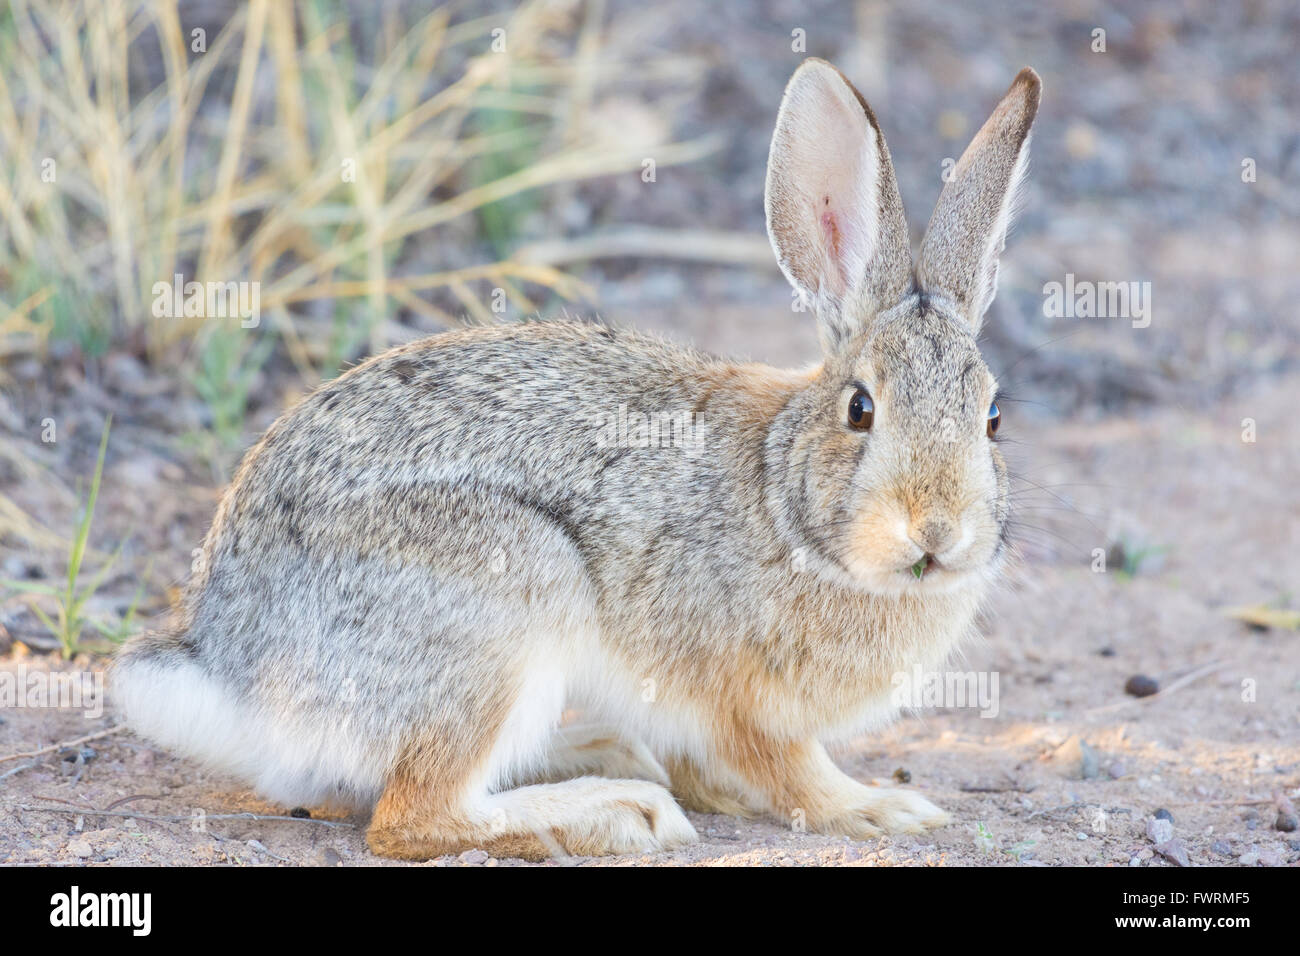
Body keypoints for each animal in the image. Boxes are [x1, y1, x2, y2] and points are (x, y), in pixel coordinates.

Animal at [113, 58, 1041, 860]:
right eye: (861, 410)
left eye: (993, 418)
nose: (936, 530)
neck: (788, 499)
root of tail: (228, 666)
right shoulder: (742, 702)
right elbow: (791, 773)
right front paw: (882, 808)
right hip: (507, 593)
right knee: (414, 816)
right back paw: (616, 810)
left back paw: (611, 755)